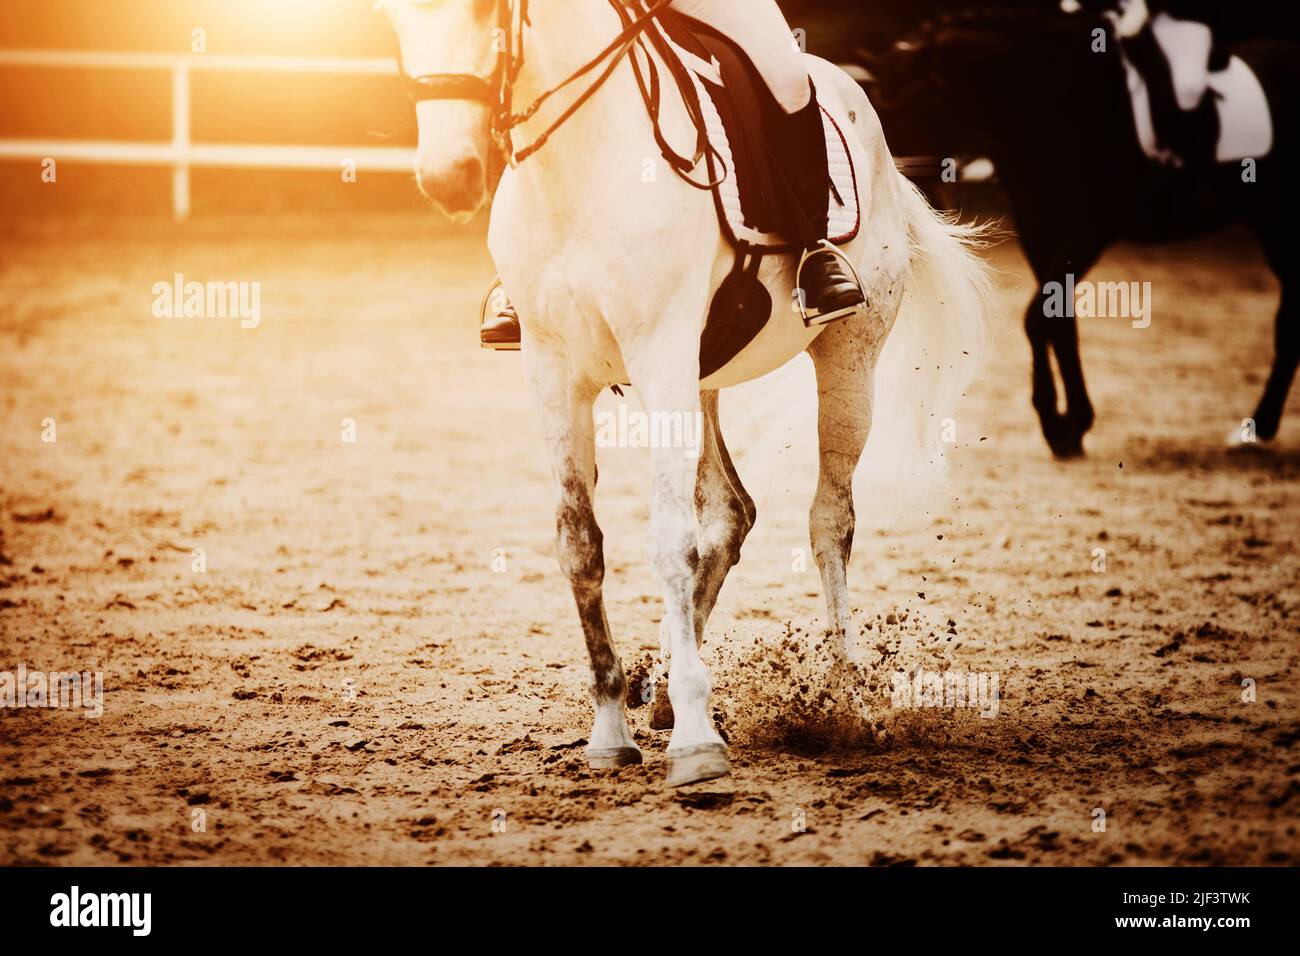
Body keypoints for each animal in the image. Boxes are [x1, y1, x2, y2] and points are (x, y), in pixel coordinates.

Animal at [382, 0, 991, 787]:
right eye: (393, 19)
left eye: (489, 11)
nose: (450, 176)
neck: (574, 172)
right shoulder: (553, 371)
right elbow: (580, 544)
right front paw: (613, 730)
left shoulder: (660, 355)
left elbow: (668, 543)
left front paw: (698, 742)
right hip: (702, 381)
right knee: (731, 514)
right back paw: (670, 688)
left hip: (846, 357)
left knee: (829, 520)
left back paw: (844, 696)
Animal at [864, 4, 1300, 459]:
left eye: (919, 104)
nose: (913, 200)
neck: (1052, 103)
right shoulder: (1039, 228)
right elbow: (1059, 319)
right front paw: (1071, 422)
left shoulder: (1091, 230)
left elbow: (1038, 318)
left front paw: (1058, 425)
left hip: (1282, 223)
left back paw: (1259, 427)